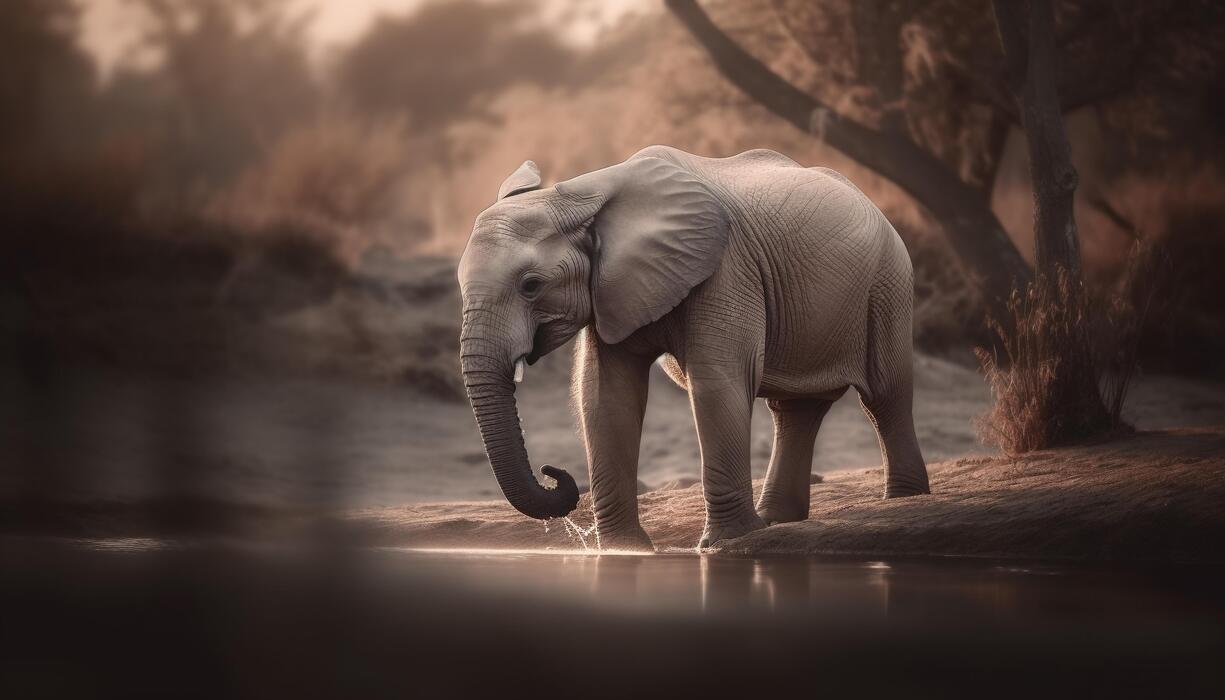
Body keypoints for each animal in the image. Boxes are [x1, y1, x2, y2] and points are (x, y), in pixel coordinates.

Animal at [457, 146, 930, 551]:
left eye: (531, 285)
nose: (553, 472)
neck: (586, 191)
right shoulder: (610, 290)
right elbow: (605, 396)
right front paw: (625, 551)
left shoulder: (728, 268)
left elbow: (718, 382)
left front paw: (726, 543)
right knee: (795, 410)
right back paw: (777, 521)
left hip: (888, 280)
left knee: (885, 394)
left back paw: (904, 501)